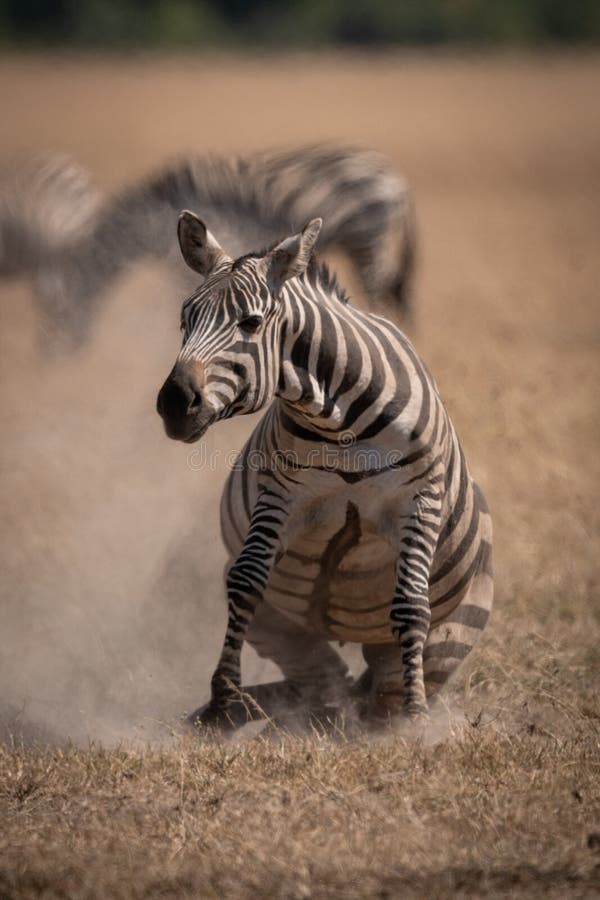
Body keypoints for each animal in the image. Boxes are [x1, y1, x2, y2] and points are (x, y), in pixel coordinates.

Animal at [0, 145, 415, 348]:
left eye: (55, 316)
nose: (52, 361)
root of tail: (394, 179)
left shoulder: (179, 263)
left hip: (366, 239)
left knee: (381, 302)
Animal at [155, 211, 493, 731]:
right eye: (184, 319)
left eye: (251, 323)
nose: (174, 404)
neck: (339, 423)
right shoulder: (281, 494)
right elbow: (246, 581)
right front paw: (221, 701)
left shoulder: (419, 499)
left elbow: (412, 604)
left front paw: (416, 722)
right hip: (284, 629)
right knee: (325, 687)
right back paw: (250, 715)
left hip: (454, 631)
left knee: (373, 691)